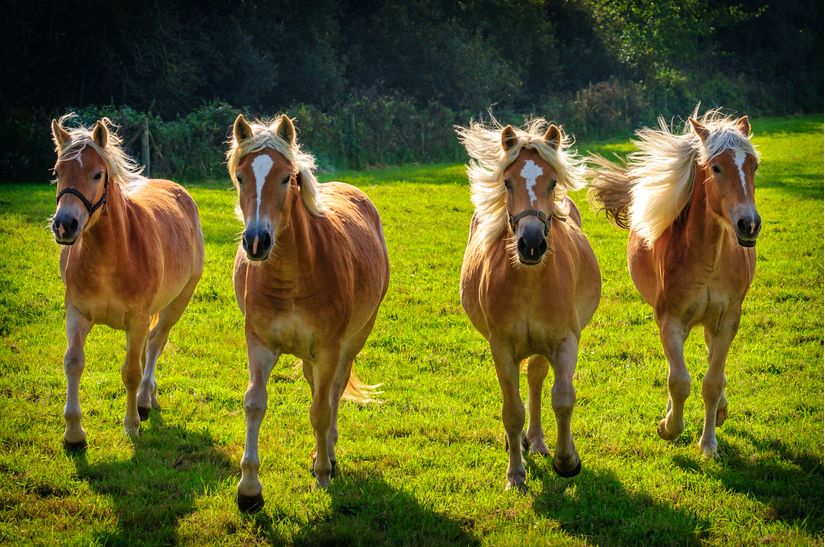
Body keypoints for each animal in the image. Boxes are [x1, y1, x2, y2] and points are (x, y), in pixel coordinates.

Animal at [49, 115, 204, 448]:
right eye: (57, 172)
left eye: (97, 174)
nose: (65, 225)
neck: (111, 255)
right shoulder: (77, 313)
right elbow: (73, 363)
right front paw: (74, 433)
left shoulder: (137, 319)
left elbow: (131, 371)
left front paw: (132, 423)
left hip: (178, 302)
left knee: (156, 342)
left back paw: (145, 400)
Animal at [227, 114, 389, 511]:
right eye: (241, 176)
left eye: (287, 178)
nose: (257, 241)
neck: (293, 274)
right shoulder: (259, 343)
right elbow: (254, 404)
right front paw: (249, 490)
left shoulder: (329, 348)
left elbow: (320, 410)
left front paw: (323, 474)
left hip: (351, 343)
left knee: (332, 394)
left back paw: (327, 455)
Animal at [457, 118, 601, 489]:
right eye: (507, 182)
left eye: (552, 182)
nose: (531, 243)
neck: (529, 282)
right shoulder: (501, 346)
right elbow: (512, 410)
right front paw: (516, 474)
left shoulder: (565, 341)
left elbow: (562, 399)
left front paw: (567, 460)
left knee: (536, 382)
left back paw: (536, 441)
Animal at [587, 109, 761, 457]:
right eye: (716, 167)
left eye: (753, 166)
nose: (748, 224)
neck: (709, 259)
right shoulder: (670, 320)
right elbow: (679, 381)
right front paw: (669, 427)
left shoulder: (728, 320)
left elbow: (712, 382)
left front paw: (709, 444)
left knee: (711, 358)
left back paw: (720, 412)